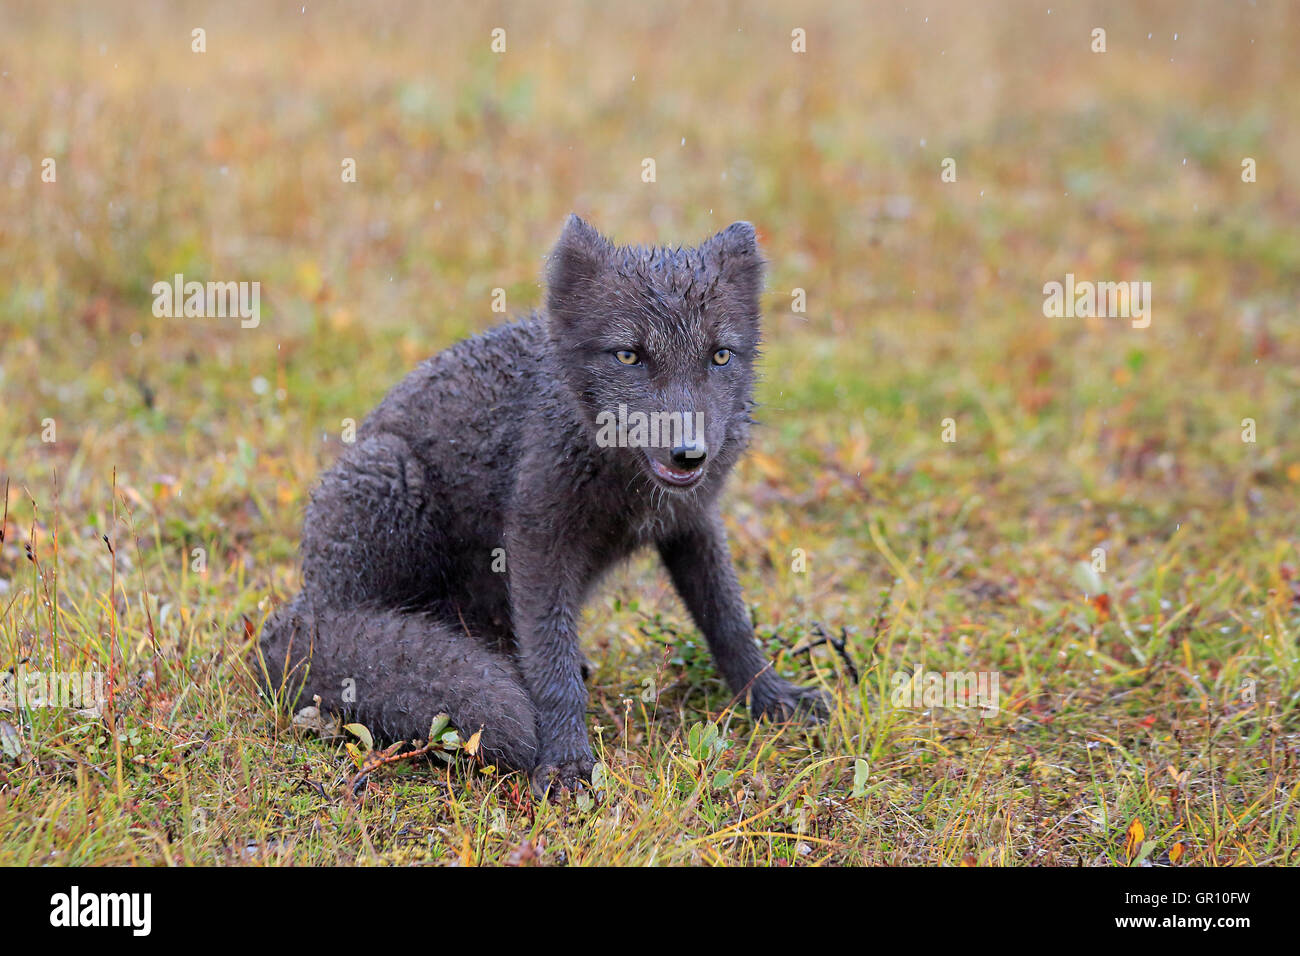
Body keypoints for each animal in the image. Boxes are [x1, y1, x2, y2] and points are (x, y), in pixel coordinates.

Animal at [259, 215, 830, 796]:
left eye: (720, 356)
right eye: (628, 355)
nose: (688, 452)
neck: (621, 475)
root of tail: (300, 610)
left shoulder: (693, 522)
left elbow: (730, 621)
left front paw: (772, 697)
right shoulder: (536, 535)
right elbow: (551, 666)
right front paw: (567, 761)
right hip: (387, 478)